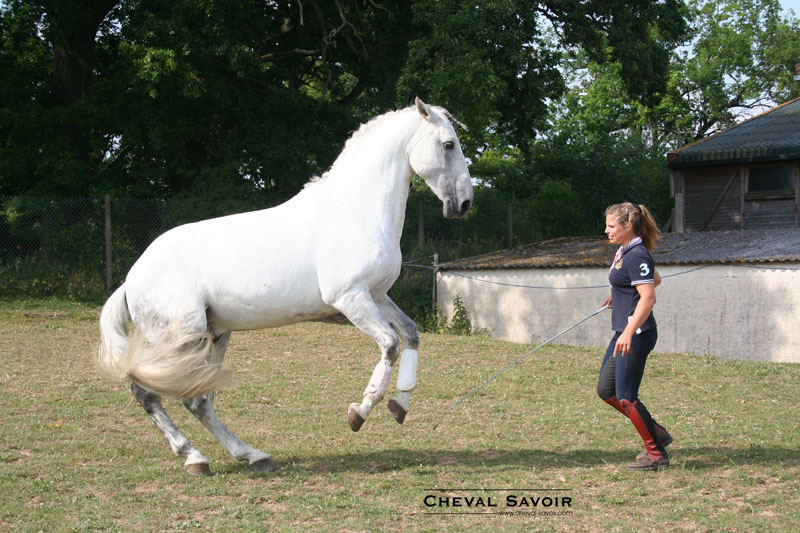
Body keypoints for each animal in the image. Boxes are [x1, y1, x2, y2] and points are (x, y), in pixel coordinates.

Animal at [96, 97, 472, 475]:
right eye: (448, 144)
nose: (464, 204)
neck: (355, 211)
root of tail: (132, 279)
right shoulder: (351, 297)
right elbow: (390, 345)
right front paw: (358, 414)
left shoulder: (377, 295)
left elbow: (410, 335)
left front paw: (400, 407)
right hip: (178, 338)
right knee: (149, 394)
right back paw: (194, 457)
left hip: (214, 336)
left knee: (199, 401)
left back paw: (251, 456)